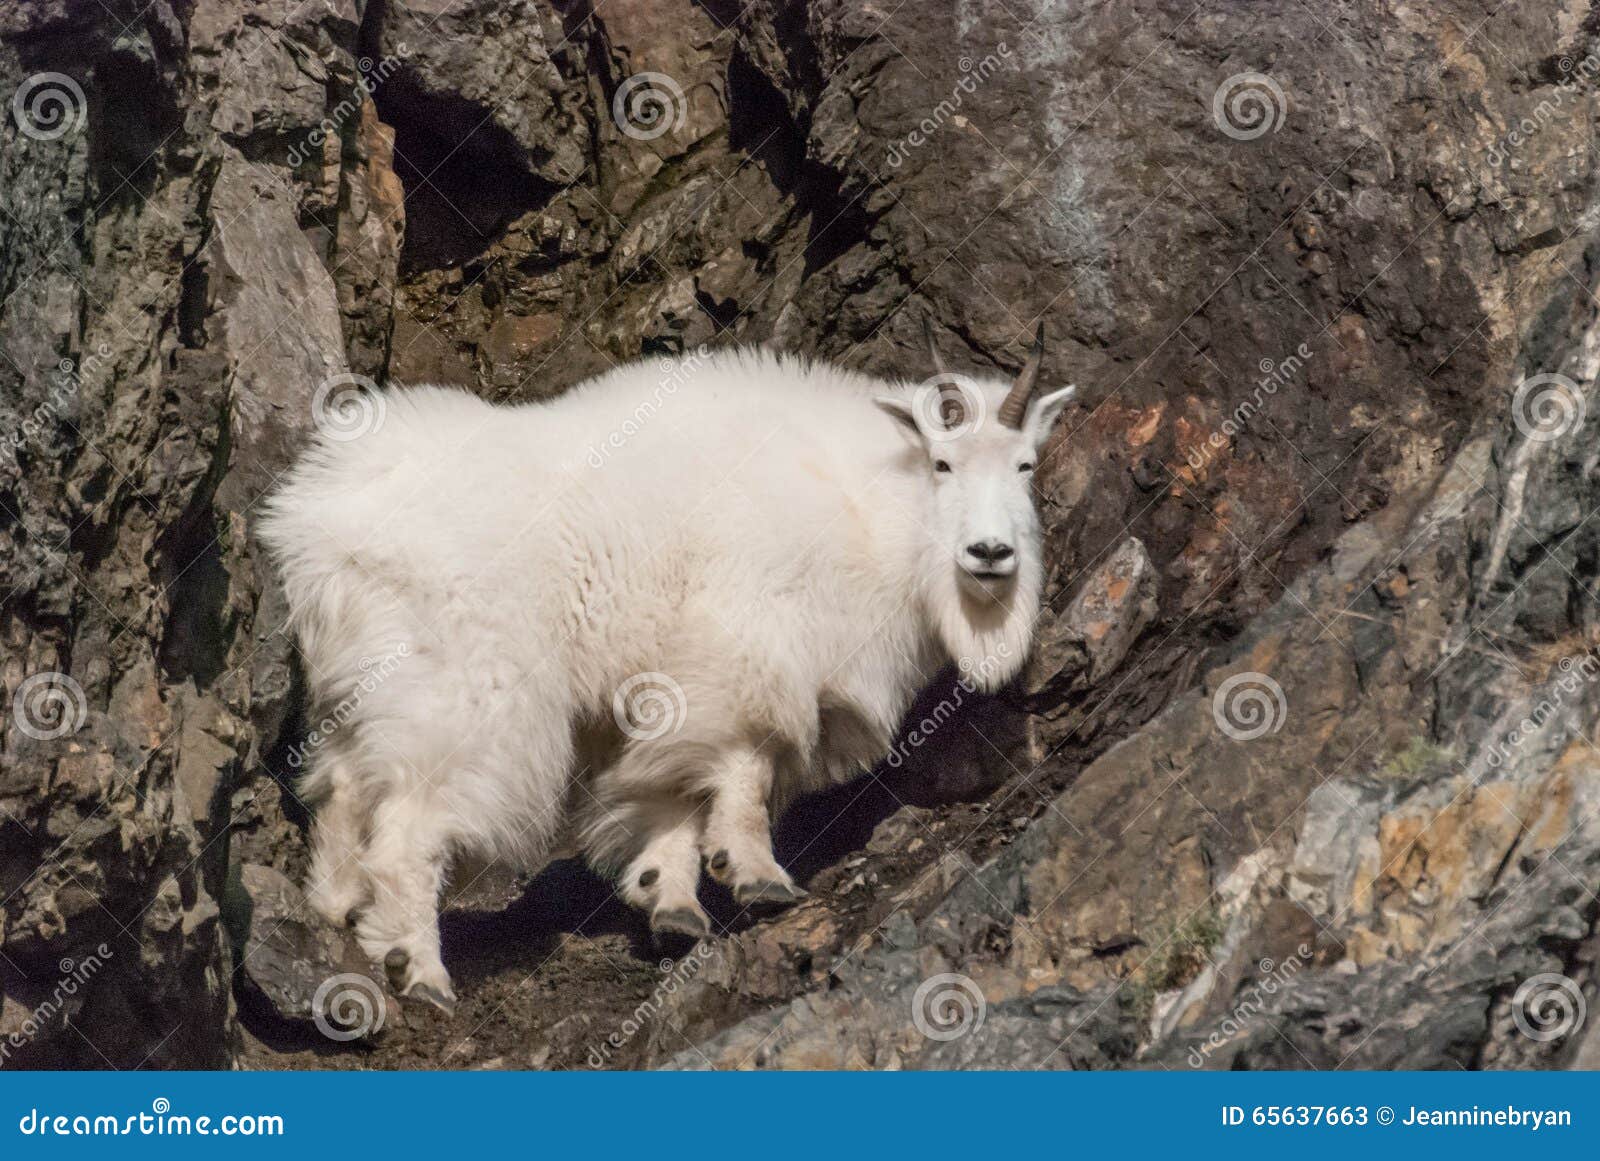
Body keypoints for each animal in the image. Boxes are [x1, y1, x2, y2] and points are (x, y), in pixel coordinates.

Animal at [258, 324, 1075, 1010]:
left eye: (1026, 464)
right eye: (943, 462)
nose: (991, 555)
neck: (867, 502)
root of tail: (317, 525)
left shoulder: (663, 693)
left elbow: (668, 791)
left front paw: (670, 901)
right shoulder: (742, 656)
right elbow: (743, 768)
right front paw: (755, 875)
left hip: (361, 686)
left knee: (341, 788)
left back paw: (335, 908)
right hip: (465, 697)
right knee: (408, 825)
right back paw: (416, 965)